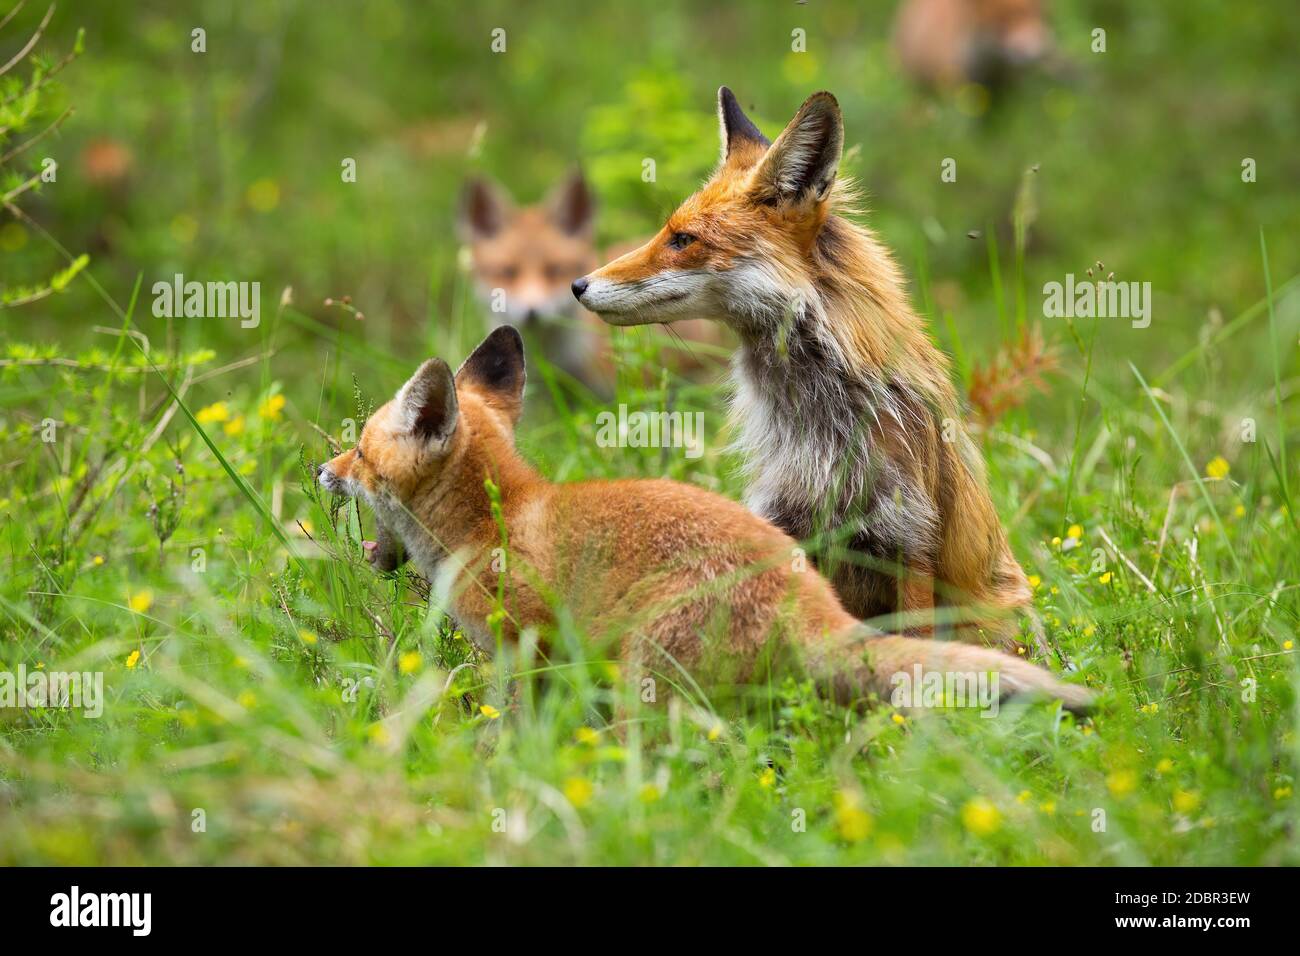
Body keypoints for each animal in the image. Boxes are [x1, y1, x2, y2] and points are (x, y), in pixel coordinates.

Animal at [316, 327, 1092, 717]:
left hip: (648, 678)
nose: (321, 469)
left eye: (359, 451)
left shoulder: (527, 645)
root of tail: (813, 606)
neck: (489, 525)